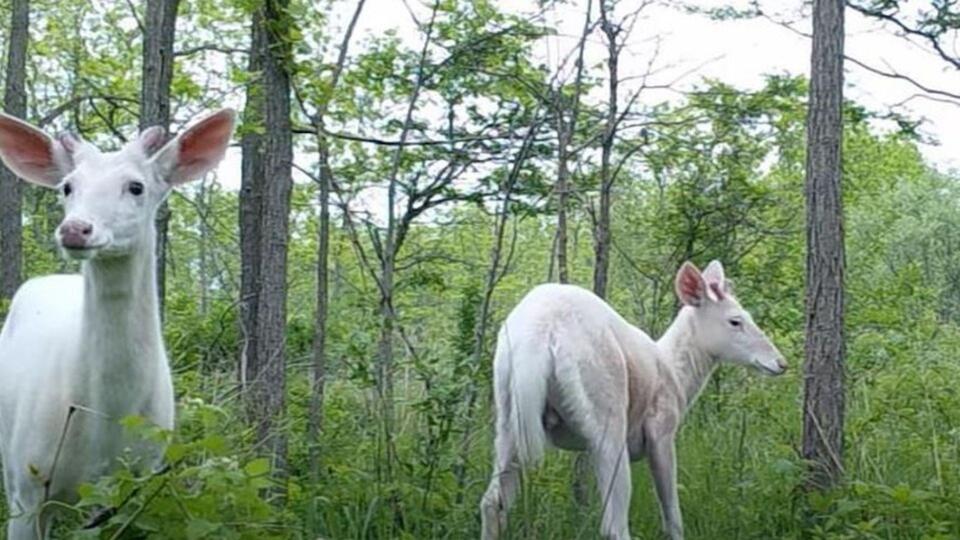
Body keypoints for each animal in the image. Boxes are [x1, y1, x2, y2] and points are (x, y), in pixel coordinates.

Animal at [0, 108, 236, 539]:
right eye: (67, 187)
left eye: (136, 186)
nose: (75, 229)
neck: (103, 420)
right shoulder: (29, 482)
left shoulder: (130, 488)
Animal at [480, 260, 787, 540]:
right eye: (735, 320)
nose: (781, 363)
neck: (678, 379)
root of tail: (541, 332)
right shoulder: (661, 428)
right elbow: (672, 515)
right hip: (607, 408)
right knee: (614, 524)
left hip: (507, 415)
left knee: (492, 502)